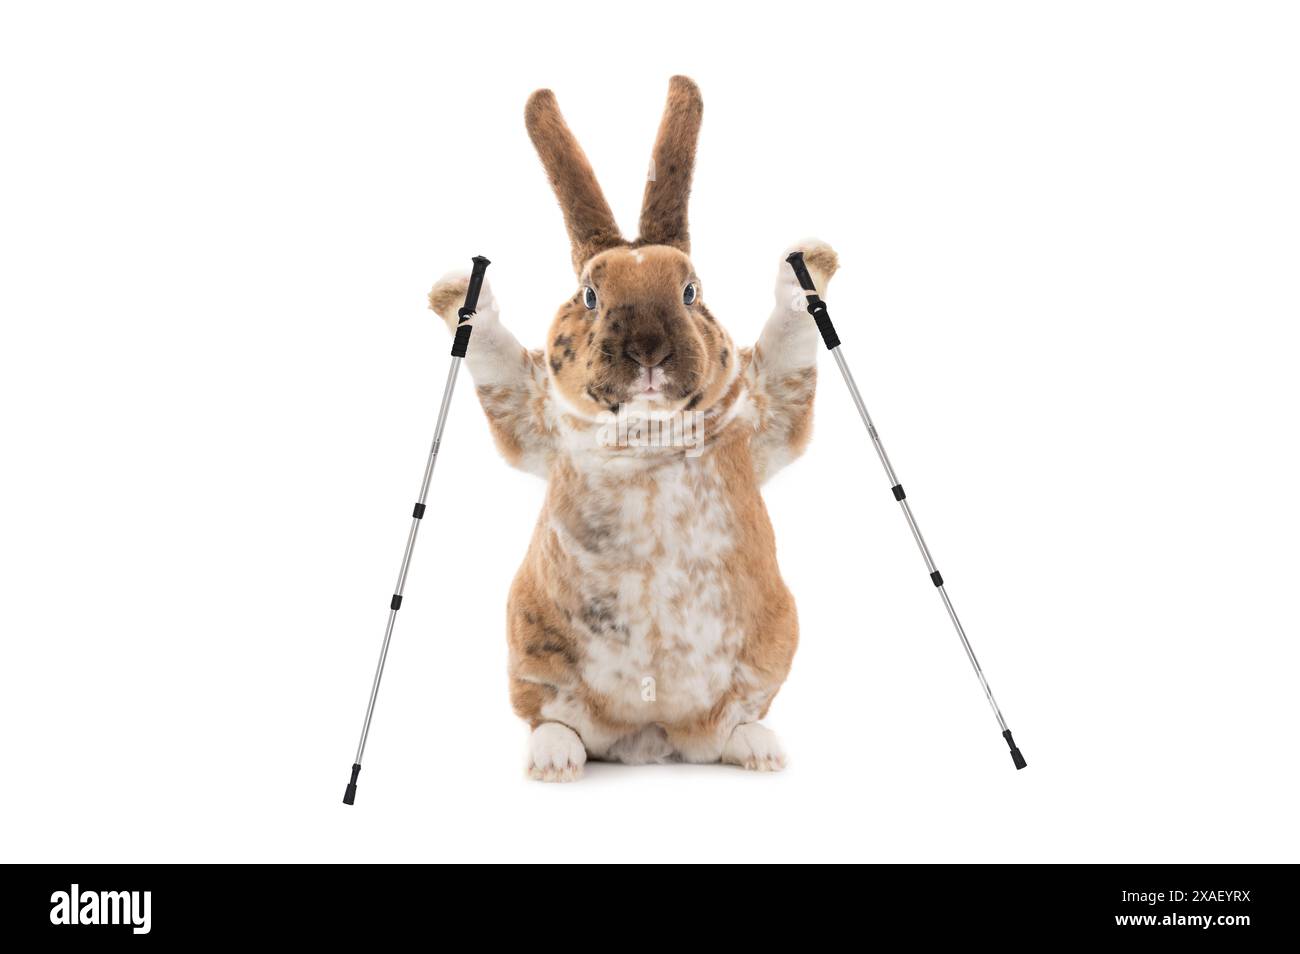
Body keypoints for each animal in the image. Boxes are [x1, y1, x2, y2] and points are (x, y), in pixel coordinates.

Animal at [428, 76, 837, 781]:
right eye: (591, 297)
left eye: (691, 292)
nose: (648, 348)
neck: (649, 437)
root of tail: (650, 738)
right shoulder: (531, 416)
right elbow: (499, 362)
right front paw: (460, 293)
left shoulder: (766, 411)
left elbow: (789, 347)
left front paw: (807, 261)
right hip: (531, 651)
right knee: (554, 719)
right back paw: (555, 760)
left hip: (770, 648)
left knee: (730, 727)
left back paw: (759, 749)